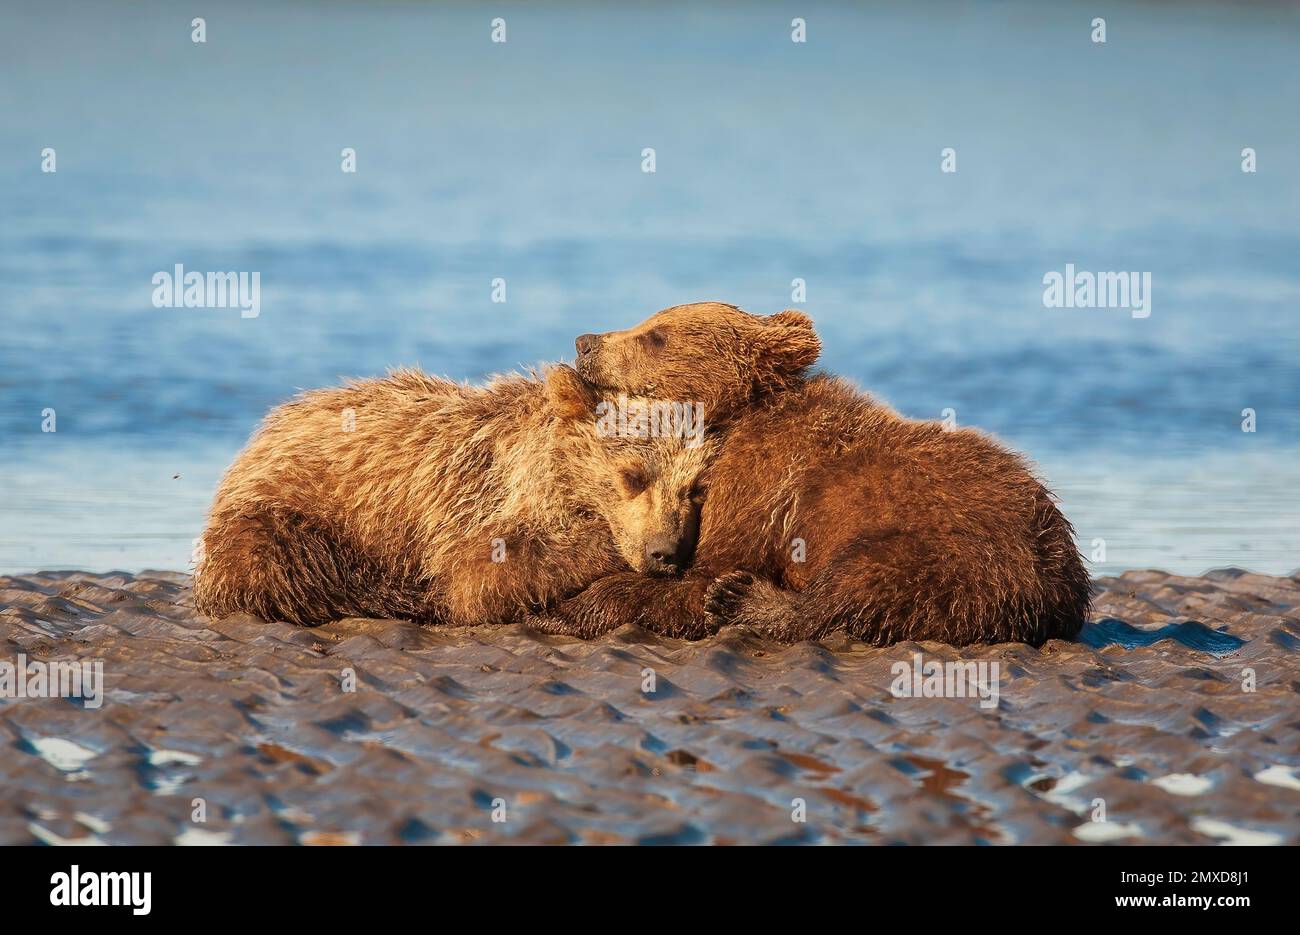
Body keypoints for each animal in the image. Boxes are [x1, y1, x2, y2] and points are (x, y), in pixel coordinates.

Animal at [192, 364, 715, 629]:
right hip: (278, 507)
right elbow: (477, 577)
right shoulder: (470, 499)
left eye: (693, 488)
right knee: (284, 561)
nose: (665, 551)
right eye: (633, 476)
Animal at [530, 301, 1092, 646]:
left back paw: (746, 601)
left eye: (656, 335)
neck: (733, 419)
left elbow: (707, 568)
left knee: (860, 585)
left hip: (961, 549)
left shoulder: (761, 482)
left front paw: (562, 606)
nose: (585, 340)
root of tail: (1061, 581)